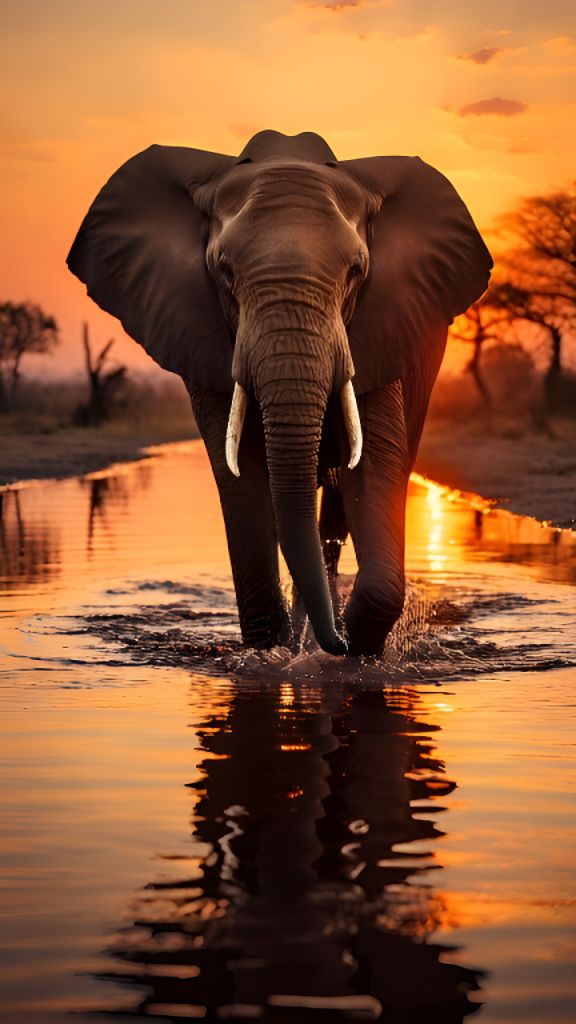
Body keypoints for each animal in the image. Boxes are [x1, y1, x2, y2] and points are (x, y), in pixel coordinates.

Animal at [67, 129, 492, 656]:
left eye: (356, 271)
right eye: (225, 271)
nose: (337, 645)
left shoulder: (380, 330)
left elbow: (372, 465)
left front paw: (351, 655)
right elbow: (244, 474)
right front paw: (275, 654)